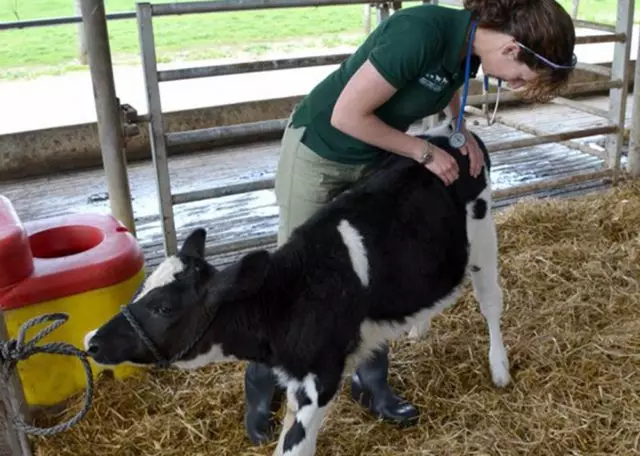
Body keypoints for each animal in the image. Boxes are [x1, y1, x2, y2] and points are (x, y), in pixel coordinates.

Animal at [86, 130, 510, 454]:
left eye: (163, 308)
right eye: (144, 288)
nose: (91, 340)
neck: (290, 297)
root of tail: (452, 135)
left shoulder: (320, 379)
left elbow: (295, 447)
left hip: (483, 239)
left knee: (490, 303)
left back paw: (500, 368)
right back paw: (418, 330)